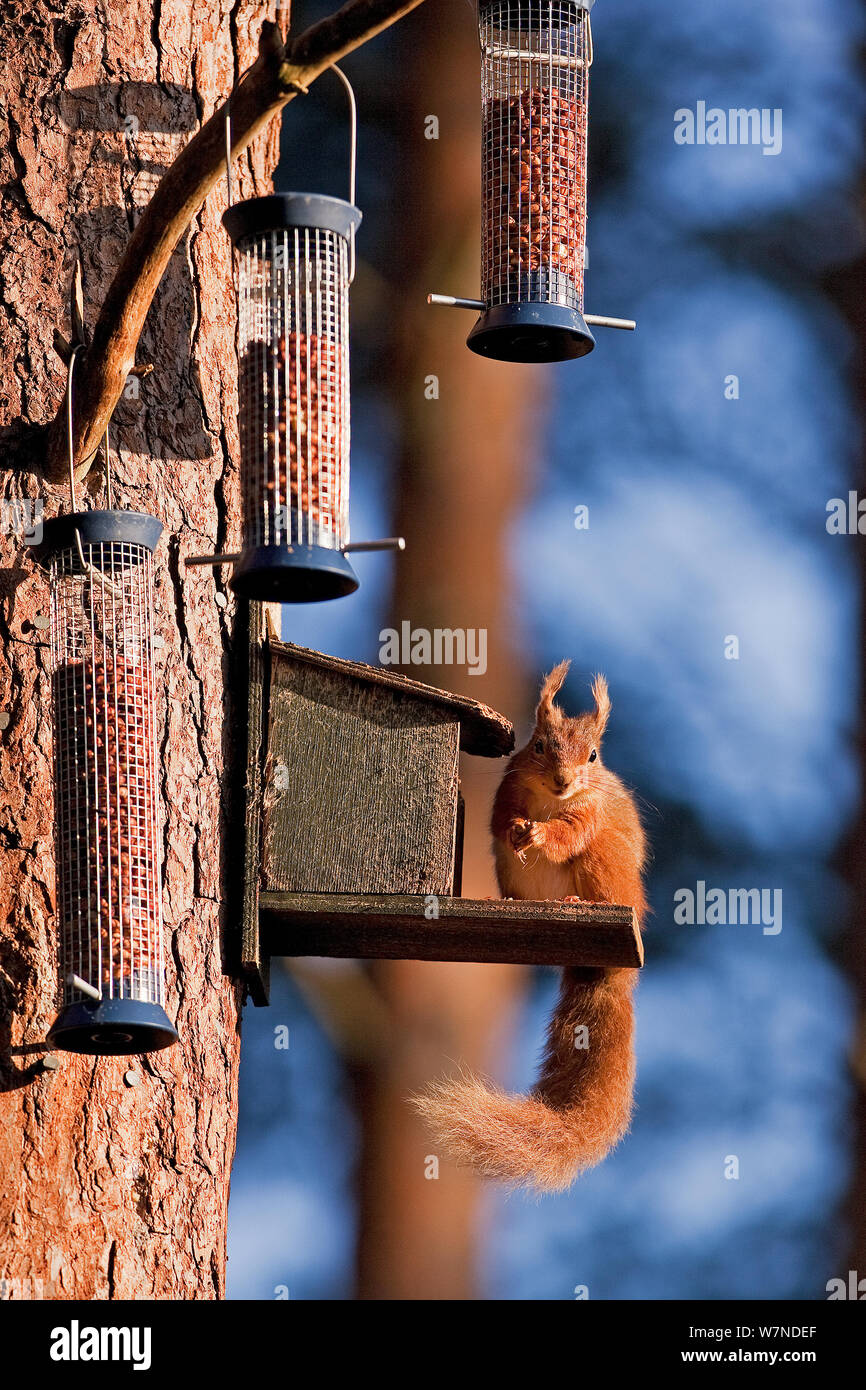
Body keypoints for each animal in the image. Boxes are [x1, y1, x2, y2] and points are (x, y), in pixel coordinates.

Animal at [413, 661, 647, 1192]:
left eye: (594, 755)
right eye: (538, 746)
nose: (564, 780)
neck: (547, 799)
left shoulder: (587, 813)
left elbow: (567, 834)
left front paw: (539, 835)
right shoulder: (508, 785)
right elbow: (501, 818)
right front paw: (516, 829)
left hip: (607, 862)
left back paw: (577, 900)